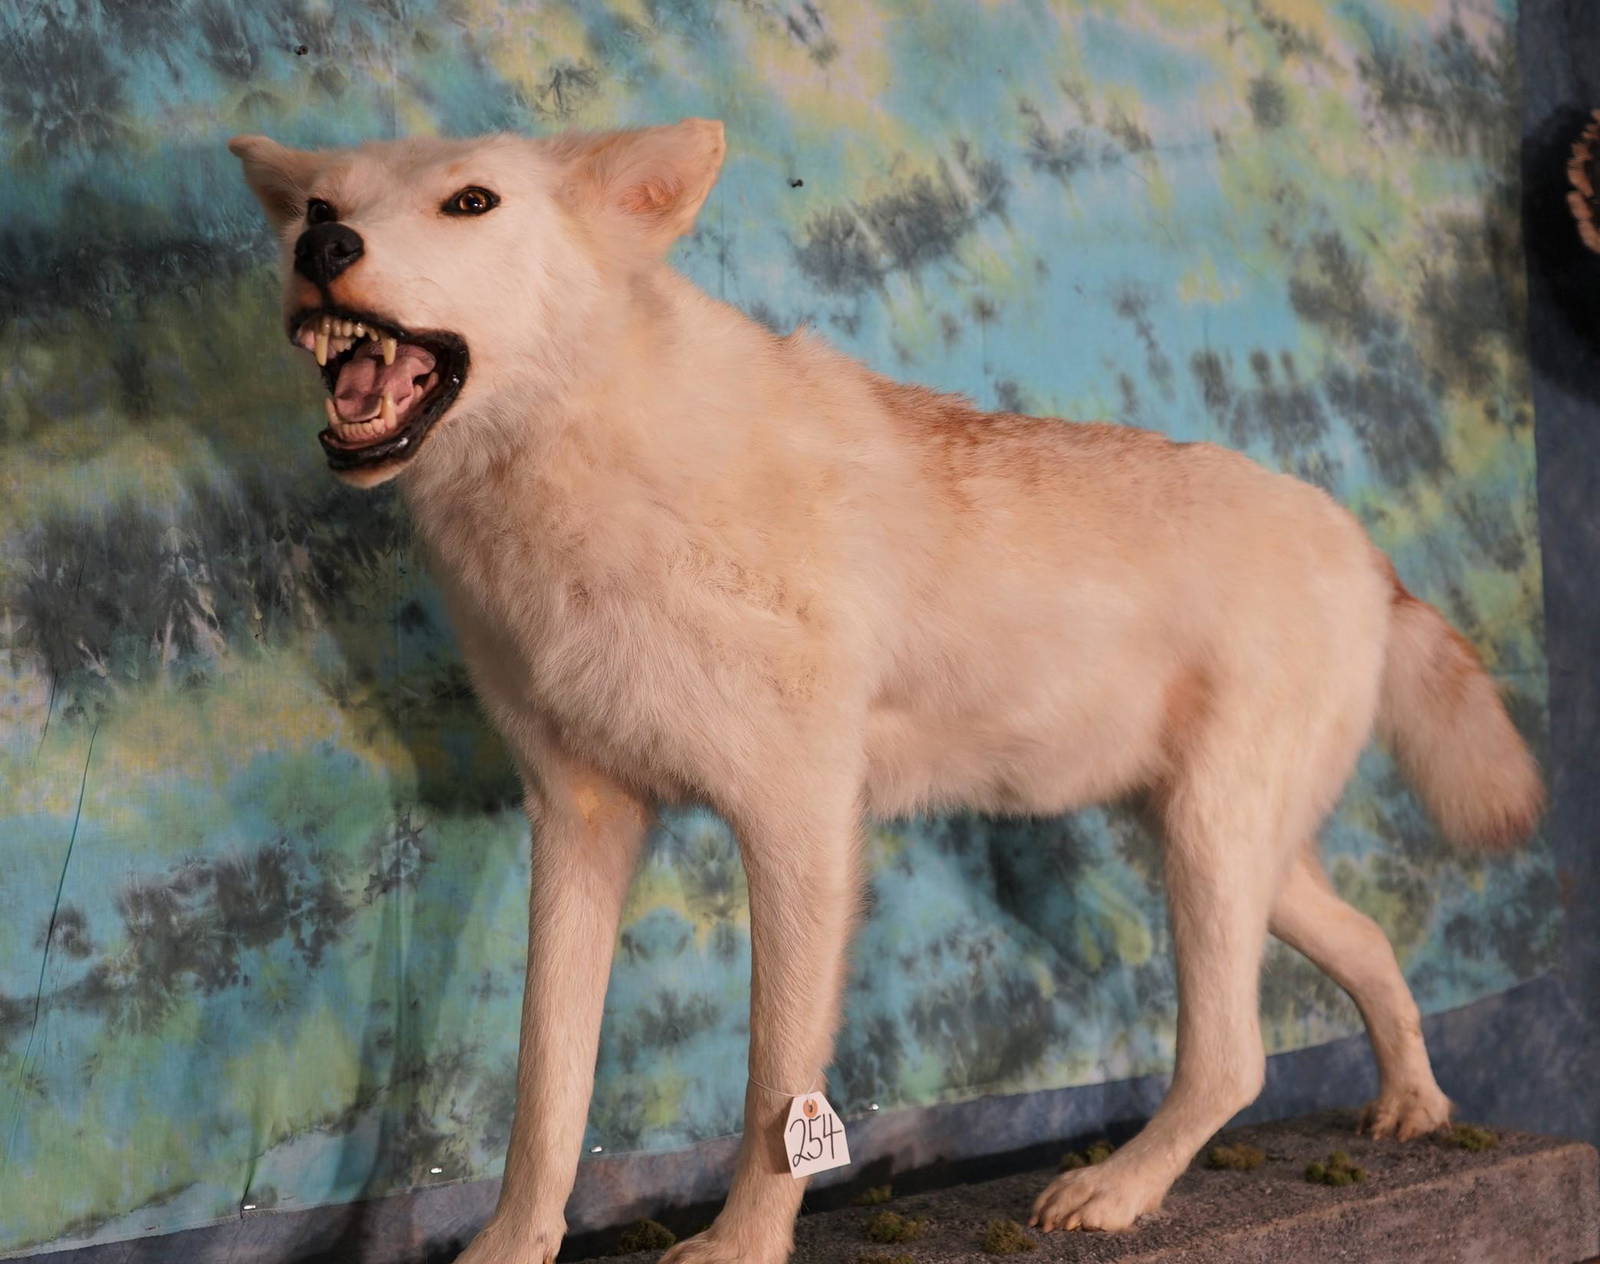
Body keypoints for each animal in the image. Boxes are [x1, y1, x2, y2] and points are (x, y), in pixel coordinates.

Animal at [229, 119, 1543, 1263]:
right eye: (321, 203)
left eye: (471, 202)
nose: (322, 249)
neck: (583, 477)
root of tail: (1367, 553)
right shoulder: (581, 822)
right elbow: (544, 1095)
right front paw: (511, 1248)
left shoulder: (800, 822)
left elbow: (779, 1094)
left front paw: (737, 1250)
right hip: (1222, 852)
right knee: (1366, 943)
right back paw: (1411, 1108)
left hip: (1208, 854)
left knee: (1235, 1057)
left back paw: (1111, 1191)